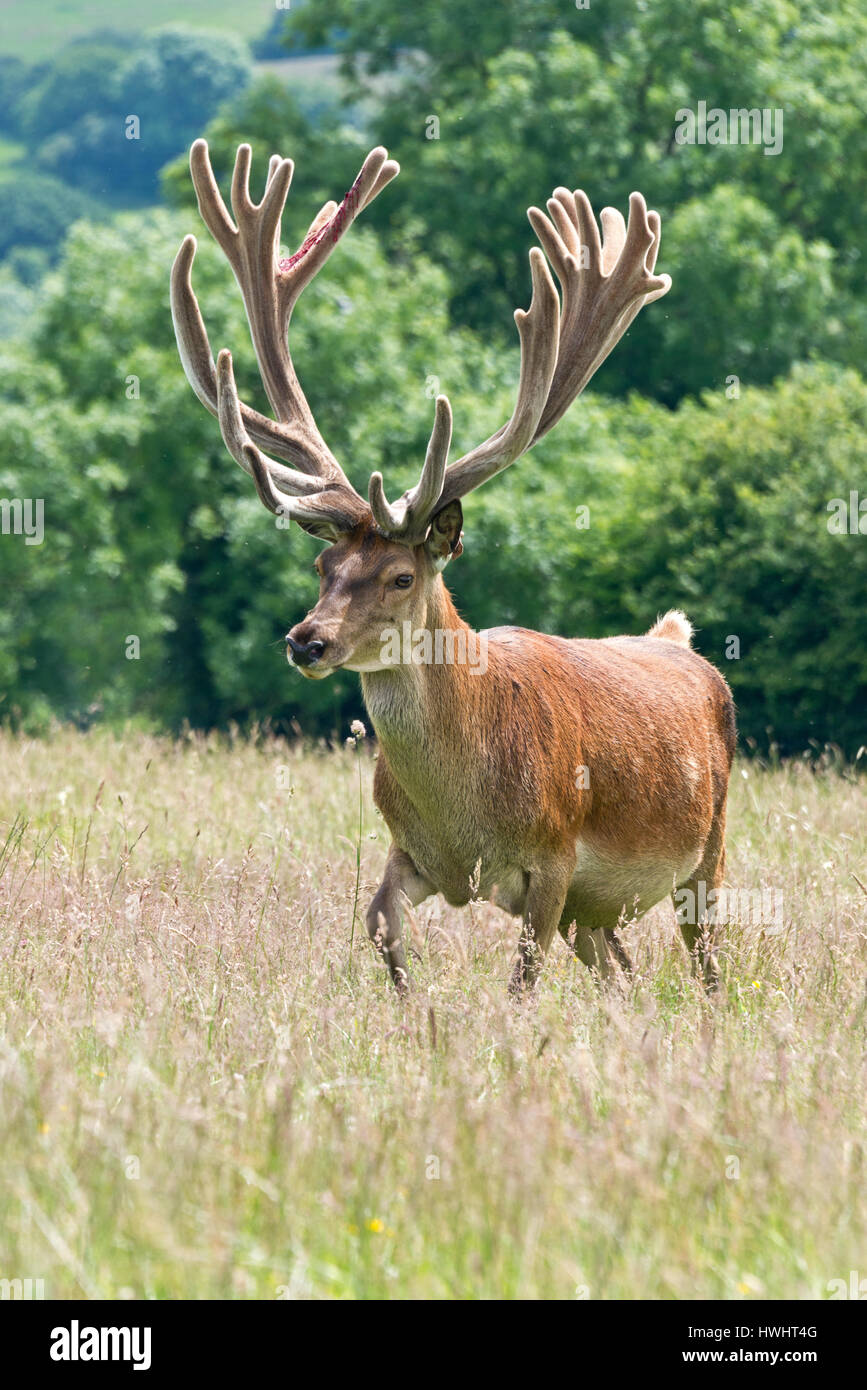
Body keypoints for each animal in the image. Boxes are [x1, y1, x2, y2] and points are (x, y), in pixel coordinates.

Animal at [171, 140, 736, 995]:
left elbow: (522, 981)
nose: (307, 640)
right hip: (600, 911)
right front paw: (414, 1007)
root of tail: (682, 643)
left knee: (708, 967)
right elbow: (378, 924)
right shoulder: (417, 856)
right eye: (322, 562)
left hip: (707, 851)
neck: (466, 816)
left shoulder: (555, 858)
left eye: (401, 577)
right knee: (623, 971)